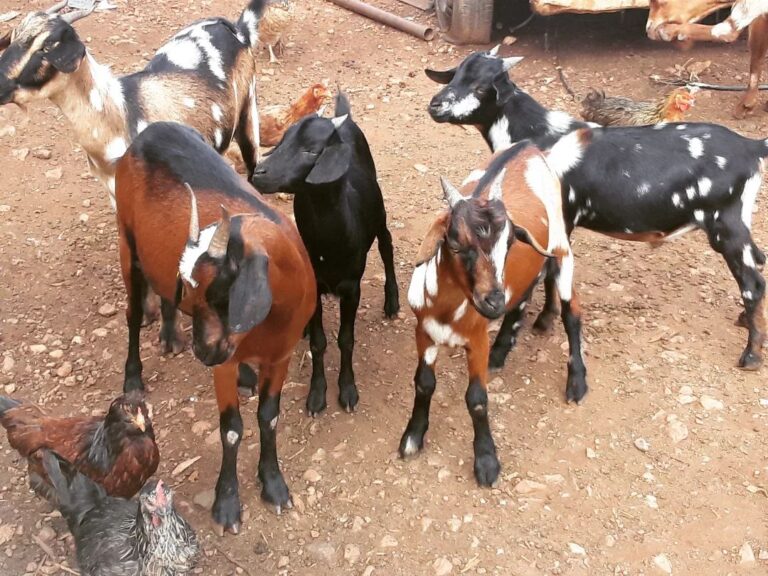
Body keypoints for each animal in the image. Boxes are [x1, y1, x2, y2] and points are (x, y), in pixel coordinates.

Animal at [0, 0, 267, 207]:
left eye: (46, 48)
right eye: (11, 39)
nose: (1, 84)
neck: (120, 111)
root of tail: (238, 30)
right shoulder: (115, 191)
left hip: (248, 111)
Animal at [114, 121, 316, 533]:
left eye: (223, 292)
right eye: (199, 292)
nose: (202, 353)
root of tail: (152, 131)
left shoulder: (281, 356)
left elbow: (269, 418)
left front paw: (274, 485)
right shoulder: (223, 364)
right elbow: (232, 429)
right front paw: (227, 505)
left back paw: (175, 338)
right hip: (129, 246)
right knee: (132, 315)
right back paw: (134, 376)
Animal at [251, 93, 400, 415]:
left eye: (311, 150)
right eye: (282, 141)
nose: (258, 173)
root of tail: (345, 119)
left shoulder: (351, 287)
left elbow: (346, 340)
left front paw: (347, 390)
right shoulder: (315, 282)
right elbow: (319, 343)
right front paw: (317, 394)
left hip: (380, 216)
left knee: (386, 246)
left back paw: (392, 300)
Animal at [399, 142, 580, 486]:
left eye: (509, 243)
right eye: (455, 242)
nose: (492, 302)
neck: (447, 310)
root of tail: (529, 146)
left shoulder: (477, 339)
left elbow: (477, 400)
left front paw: (486, 461)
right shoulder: (423, 332)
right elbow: (423, 383)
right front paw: (413, 436)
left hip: (562, 249)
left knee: (572, 314)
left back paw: (577, 382)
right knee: (525, 295)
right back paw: (504, 347)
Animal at [425, 47, 768, 372]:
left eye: (483, 86)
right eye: (456, 74)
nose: (436, 106)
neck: (539, 135)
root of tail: (751, 147)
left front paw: (500, 353)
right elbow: (552, 275)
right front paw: (545, 320)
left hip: (726, 225)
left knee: (753, 283)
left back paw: (751, 355)